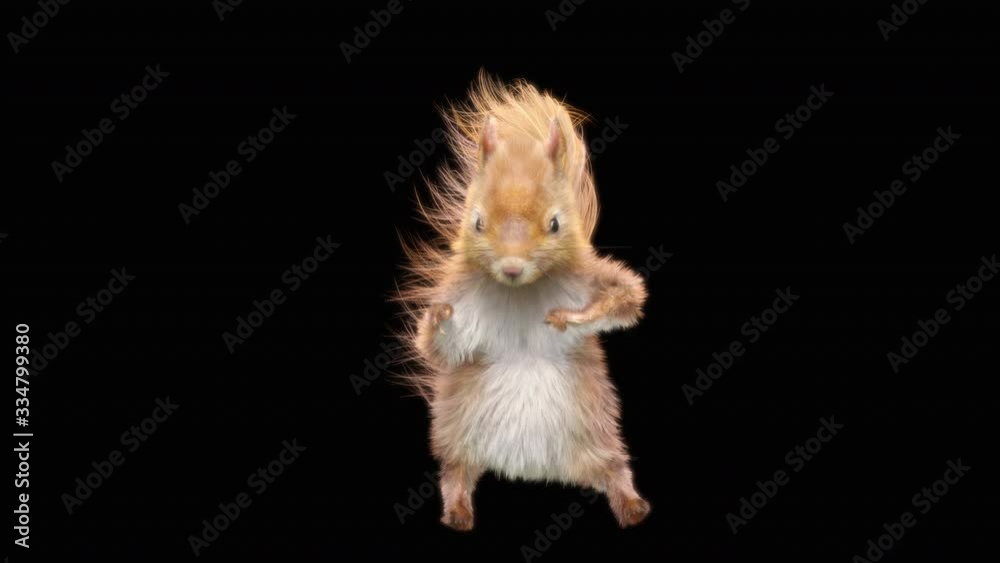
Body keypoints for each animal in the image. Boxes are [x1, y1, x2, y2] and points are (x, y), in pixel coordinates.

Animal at [397, 73, 650, 531]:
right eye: (477, 221)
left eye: (555, 223)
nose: (512, 267)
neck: (519, 292)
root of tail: (529, 468)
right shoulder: (461, 296)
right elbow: (443, 350)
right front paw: (439, 318)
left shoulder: (589, 277)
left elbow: (626, 298)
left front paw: (572, 317)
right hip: (458, 431)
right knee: (456, 471)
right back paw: (457, 509)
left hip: (598, 431)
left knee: (614, 470)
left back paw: (632, 503)